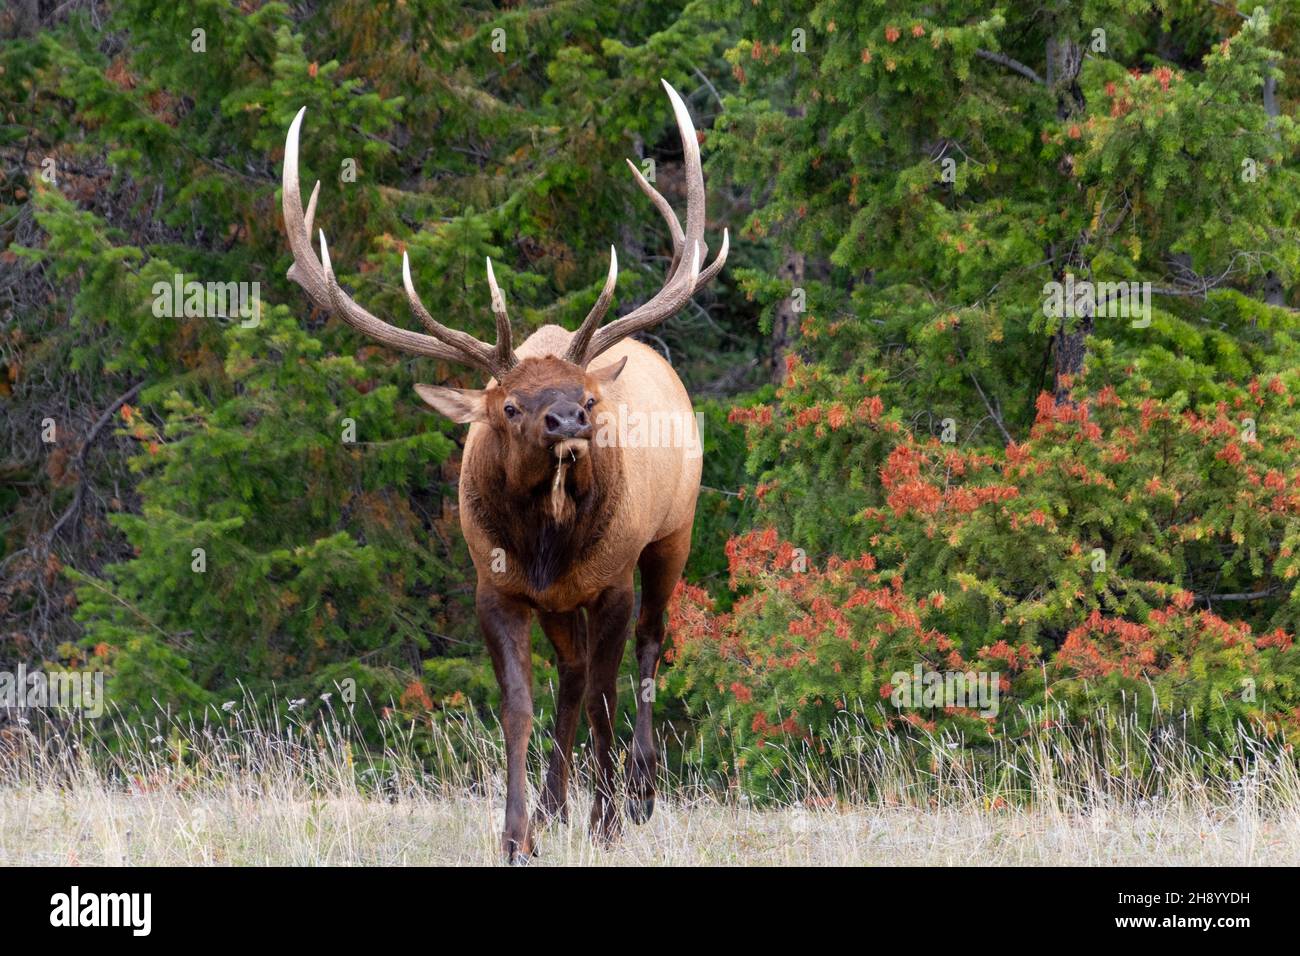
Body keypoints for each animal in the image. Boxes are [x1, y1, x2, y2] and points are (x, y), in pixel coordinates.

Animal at [281, 81, 726, 863]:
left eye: (587, 397)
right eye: (509, 406)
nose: (571, 422)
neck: (548, 541)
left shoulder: (611, 579)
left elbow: (610, 694)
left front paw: (607, 822)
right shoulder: (497, 588)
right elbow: (519, 707)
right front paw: (518, 833)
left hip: (674, 530)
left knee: (648, 646)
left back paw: (640, 792)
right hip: (558, 604)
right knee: (573, 676)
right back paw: (555, 805)